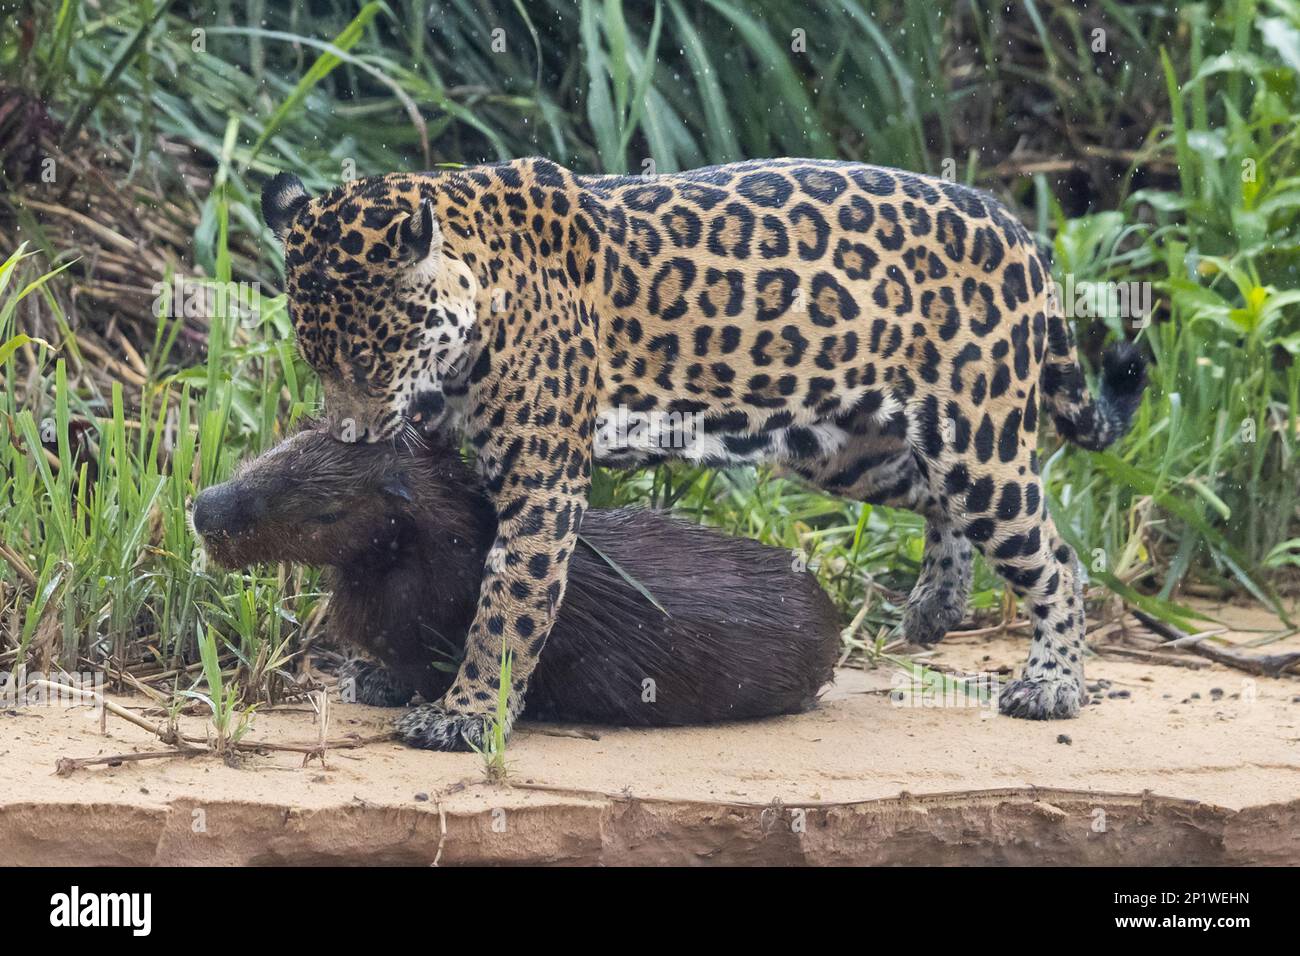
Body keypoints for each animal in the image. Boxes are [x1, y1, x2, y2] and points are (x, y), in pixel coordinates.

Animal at [261, 156, 1146, 751]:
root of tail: (1016, 229)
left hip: (977, 439)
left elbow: (510, 602)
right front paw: (397, 675)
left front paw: (468, 713)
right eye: (313, 358)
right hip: (851, 447)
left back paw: (1052, 683)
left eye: (370, 358)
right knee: (937, 502)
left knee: (1056, 558)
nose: (352, 436)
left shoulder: (542, 482)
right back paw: (937, 602)